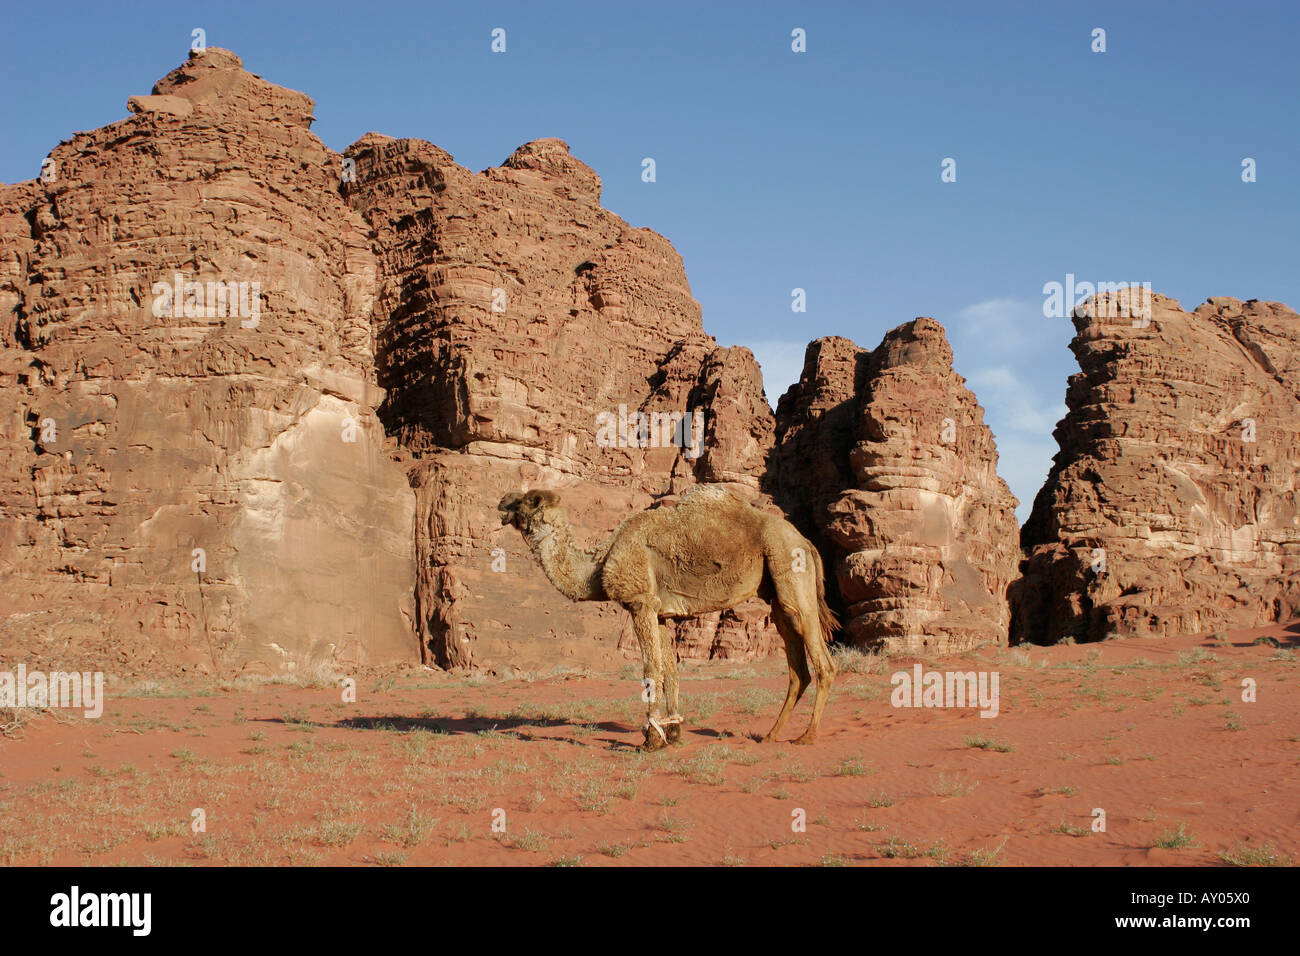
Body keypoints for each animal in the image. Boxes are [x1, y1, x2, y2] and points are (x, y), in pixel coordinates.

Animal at [497, 484, 838, 751]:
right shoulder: (660, 611)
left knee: (822, 660)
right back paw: (771, 735)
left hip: (790, 570)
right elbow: (671, 671)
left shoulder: (640, 602)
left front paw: (650, 740)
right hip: (776, 595)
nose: (502, 502)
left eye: (528, 500)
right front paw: (672, 732)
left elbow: (651, 669)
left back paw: (807, 736)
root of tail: (807, 543)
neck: (600, 564)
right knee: (798, 668)